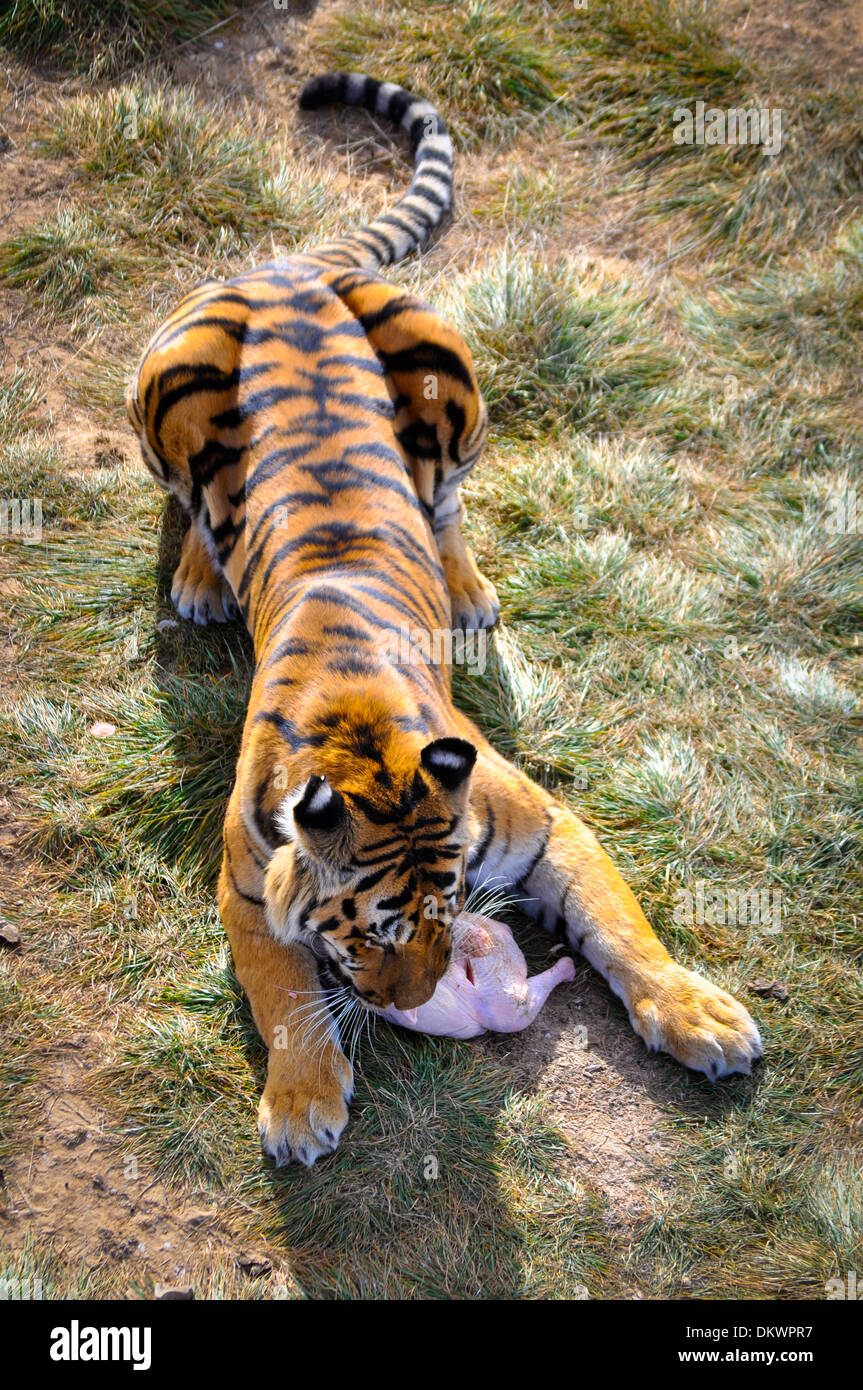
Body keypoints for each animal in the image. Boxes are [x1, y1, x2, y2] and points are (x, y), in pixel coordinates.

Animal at [126, 72, 762, 1166]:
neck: (358, 731)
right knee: (195, 504)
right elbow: (283, 995)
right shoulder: (243, 889)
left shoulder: (548, 825)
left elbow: (624, 927)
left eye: (452, 907)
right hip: (162, 385)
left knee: (449, 500)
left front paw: (697, 1014)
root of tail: (289, 265)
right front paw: (302, 1099)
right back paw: (203, 579)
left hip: (447, 367)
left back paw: (465, 592)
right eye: (373, 933)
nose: (423, 1002)